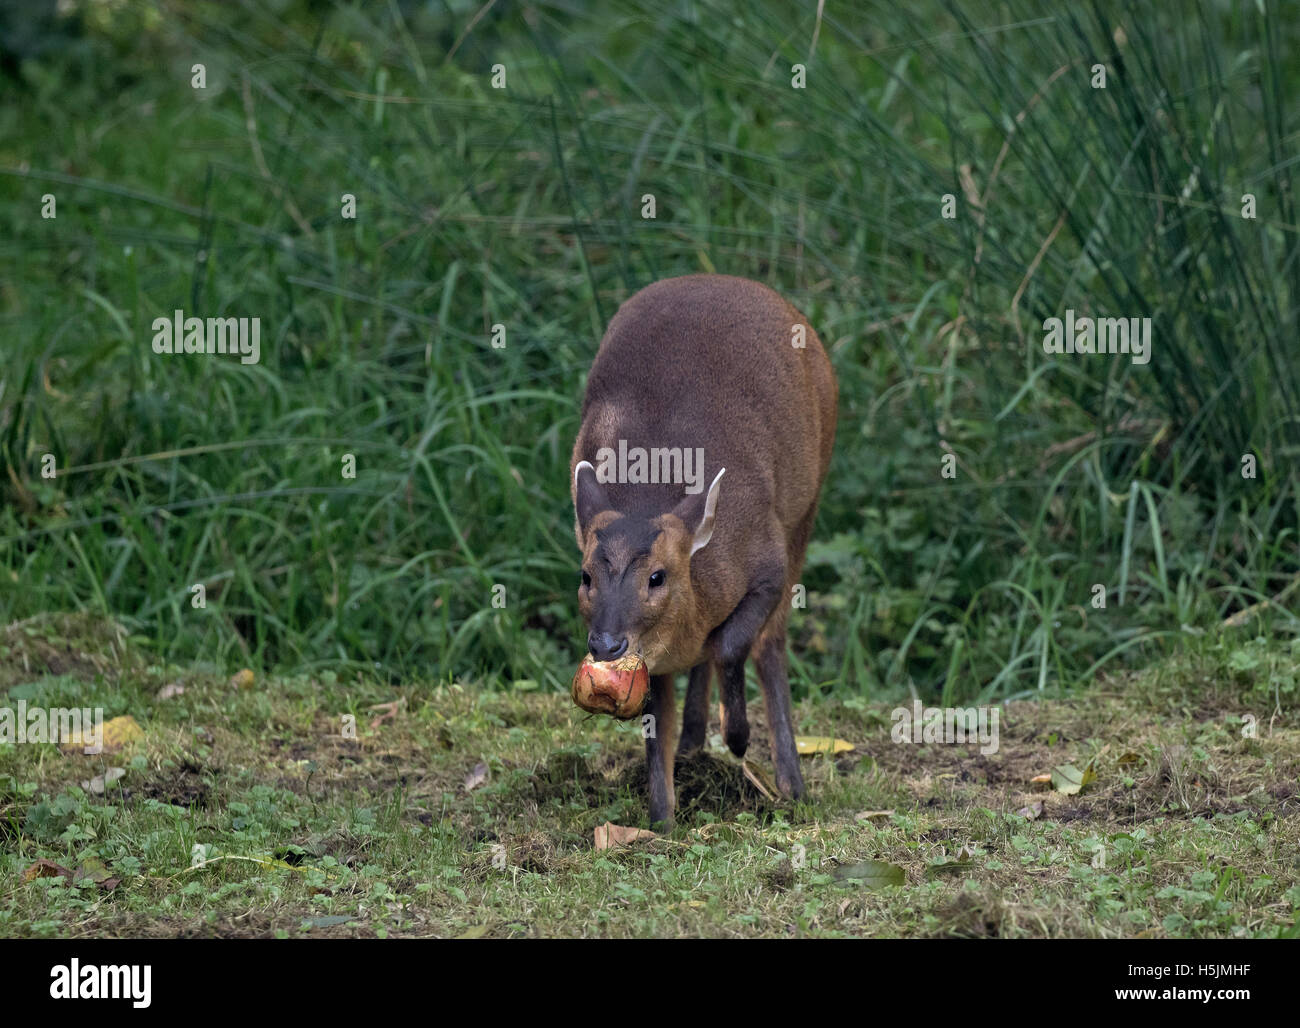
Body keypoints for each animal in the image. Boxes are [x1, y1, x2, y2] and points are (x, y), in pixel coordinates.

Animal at [569, 274, 837, 828]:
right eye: (585, 577)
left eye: (657, 576)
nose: (606, 645)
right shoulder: (650, 655)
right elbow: (657, 723)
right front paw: (661, 820)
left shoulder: (768, 561)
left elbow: (733, 644)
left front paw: (737, 736)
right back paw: (694, 741)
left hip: (808, 499)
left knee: (770, 644)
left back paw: (791, 783)